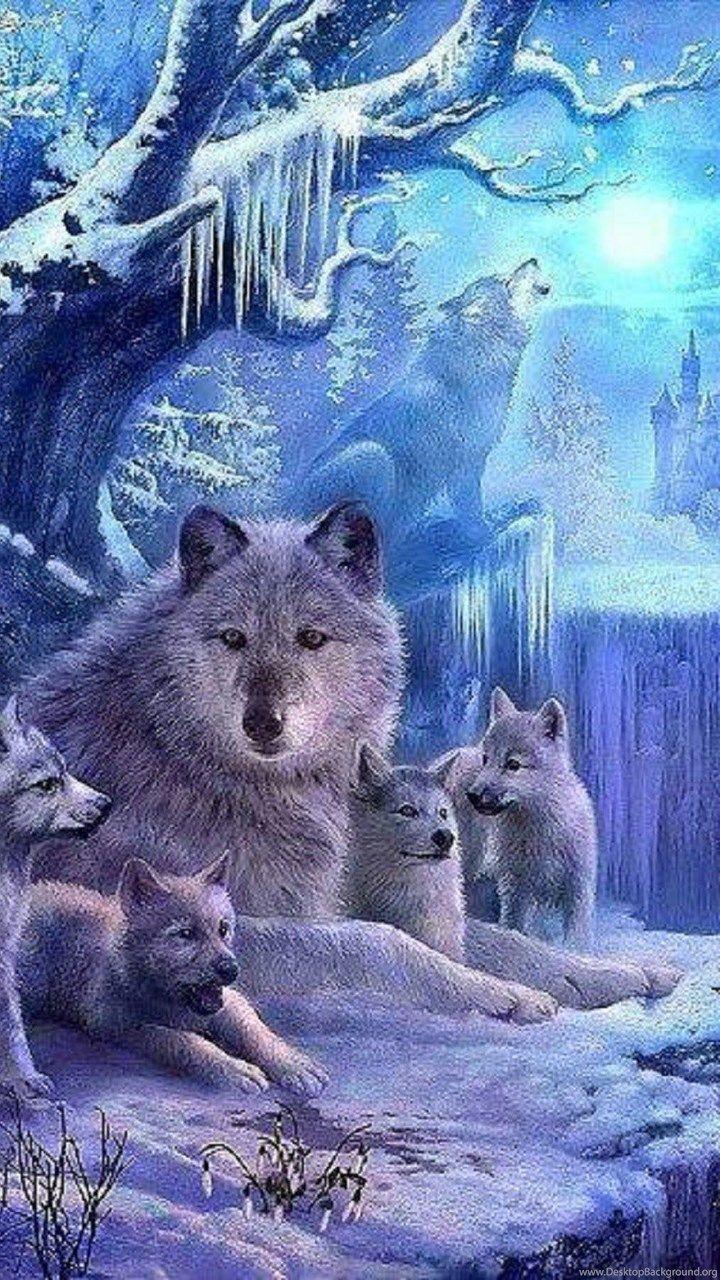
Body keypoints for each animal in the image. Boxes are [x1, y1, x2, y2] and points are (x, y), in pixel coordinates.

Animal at [19, 852, 327, 1095]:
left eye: (223, 929)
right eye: (186, 934)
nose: (231, 970)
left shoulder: (230, 1002)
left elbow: (254, 1031)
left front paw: (293, 1064)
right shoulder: (115, 1024)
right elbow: (183, 1041)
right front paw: (232, 1069)